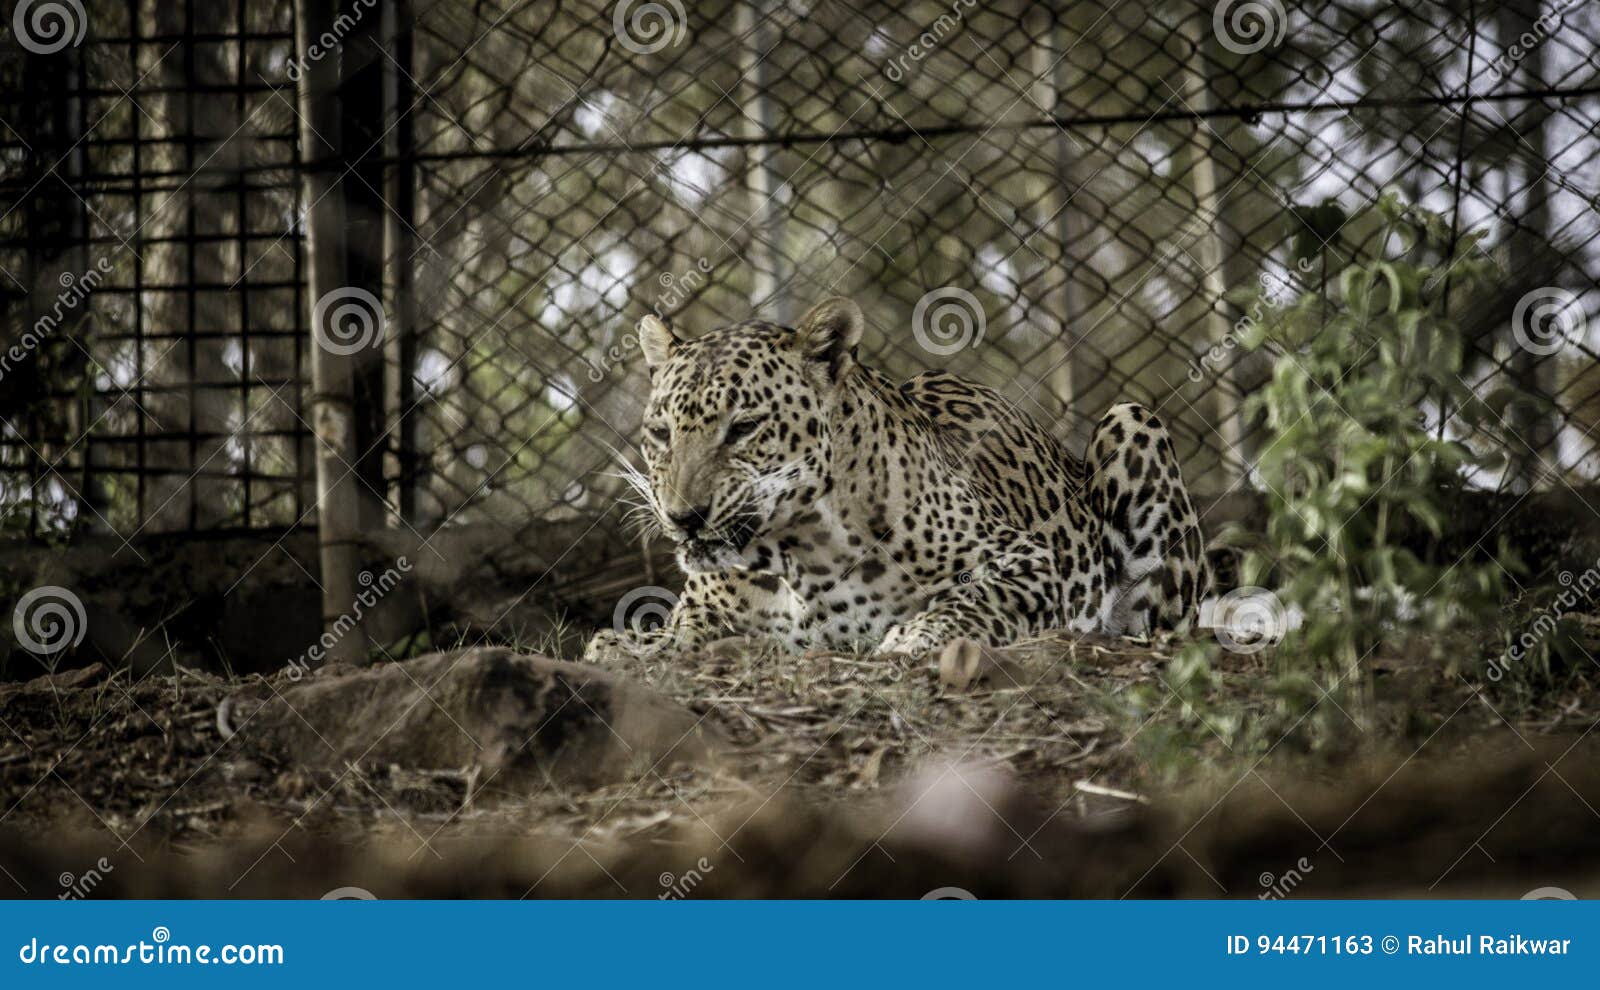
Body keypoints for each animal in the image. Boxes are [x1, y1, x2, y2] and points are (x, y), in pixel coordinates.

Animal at [587, 295, 1212, 660]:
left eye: (743, 428)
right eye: (661, 433)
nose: (683, 518)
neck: (793, 555)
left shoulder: (1032, 560)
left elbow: (976, 597)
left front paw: (916, 634)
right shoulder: (707, 608)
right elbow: (674, 632)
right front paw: (632, 645)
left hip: (1131, 419)